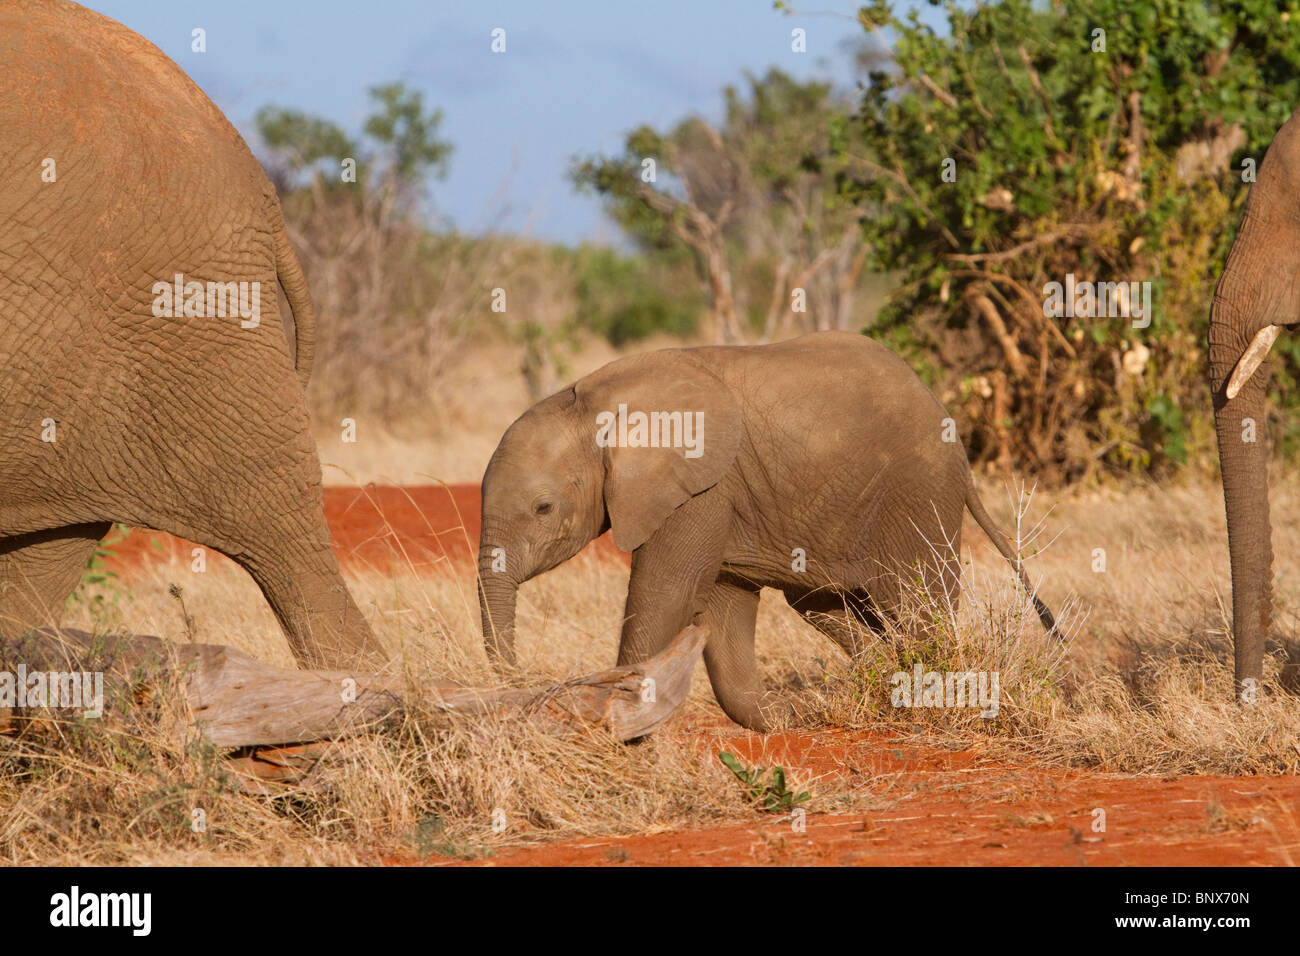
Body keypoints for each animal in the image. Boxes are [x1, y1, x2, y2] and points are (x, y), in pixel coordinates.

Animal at [477, 331, 1057, 731]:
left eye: (543, 508)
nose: (527, 683)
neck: (593, 400)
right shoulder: (722, 498)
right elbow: (721, 611)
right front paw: (787, 720)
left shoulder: (703, 489)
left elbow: (665, 593)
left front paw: (621, 729)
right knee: (825, 606)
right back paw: (871, 690)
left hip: (916, 494)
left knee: (915, 603)